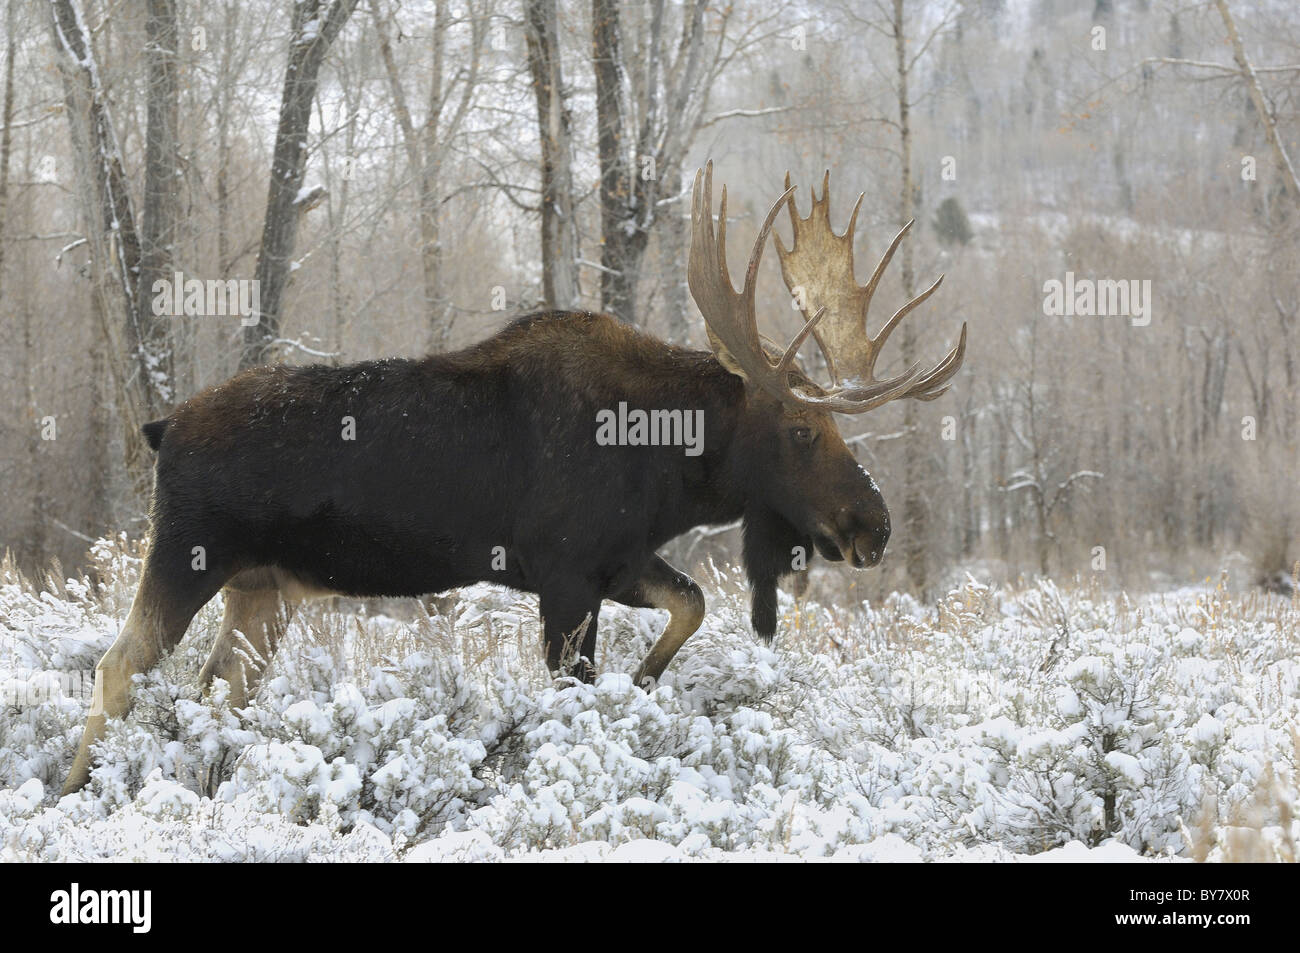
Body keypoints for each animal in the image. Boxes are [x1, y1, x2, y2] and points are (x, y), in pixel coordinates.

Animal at [61, 162, 965, 794]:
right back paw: (72, 793)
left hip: (265, 588)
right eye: (804, 428)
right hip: (188, 552)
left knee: (217, 688)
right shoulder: (565, 574)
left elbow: (692, 603)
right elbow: (581, 686)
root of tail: (162, 428)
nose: (874, 524)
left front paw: (646, 685)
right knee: (118, 666)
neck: (668, 462)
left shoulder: (615, 562)